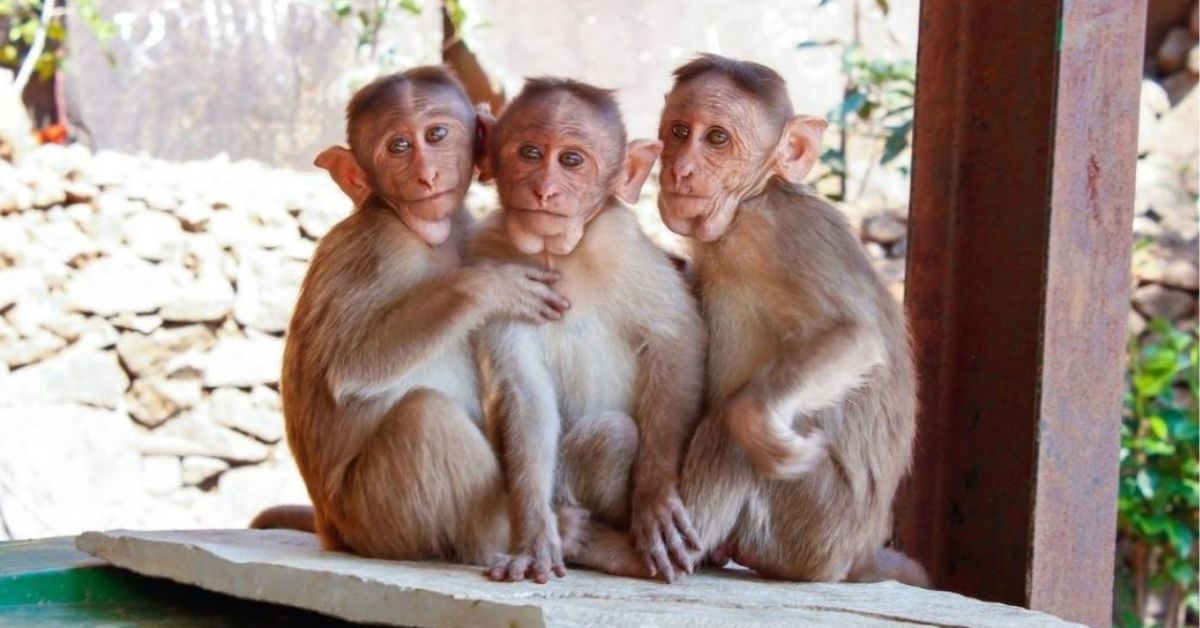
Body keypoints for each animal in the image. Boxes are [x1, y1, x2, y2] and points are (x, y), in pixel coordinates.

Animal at [250, 67, 585, 566]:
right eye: (398, 147)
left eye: (436, 135)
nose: (427, 177)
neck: (421, 232)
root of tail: (330, 529)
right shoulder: (381, 247)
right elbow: (347, 368)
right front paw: (490, 286)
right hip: (374, 514)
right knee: (425, 416)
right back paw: (508, 536)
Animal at [468, 77, 707, 584]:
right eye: (531, 152)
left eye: (572, 161)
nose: (544, 190)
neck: (556, 255)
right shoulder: (490, 261)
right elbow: (526, 393)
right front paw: (535, 537)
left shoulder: (622, 244)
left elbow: (677, 339)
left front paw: (655, 496)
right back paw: (574, 533)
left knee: (613, 435)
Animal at [576, 54, 927, 587]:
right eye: (680, 131)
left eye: (717, 139)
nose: (680, 168)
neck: (750, 202)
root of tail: (858, 555)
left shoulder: (780, 233)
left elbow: (854, 337)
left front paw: (757, 425)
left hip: (812, 530)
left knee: (730, 428)